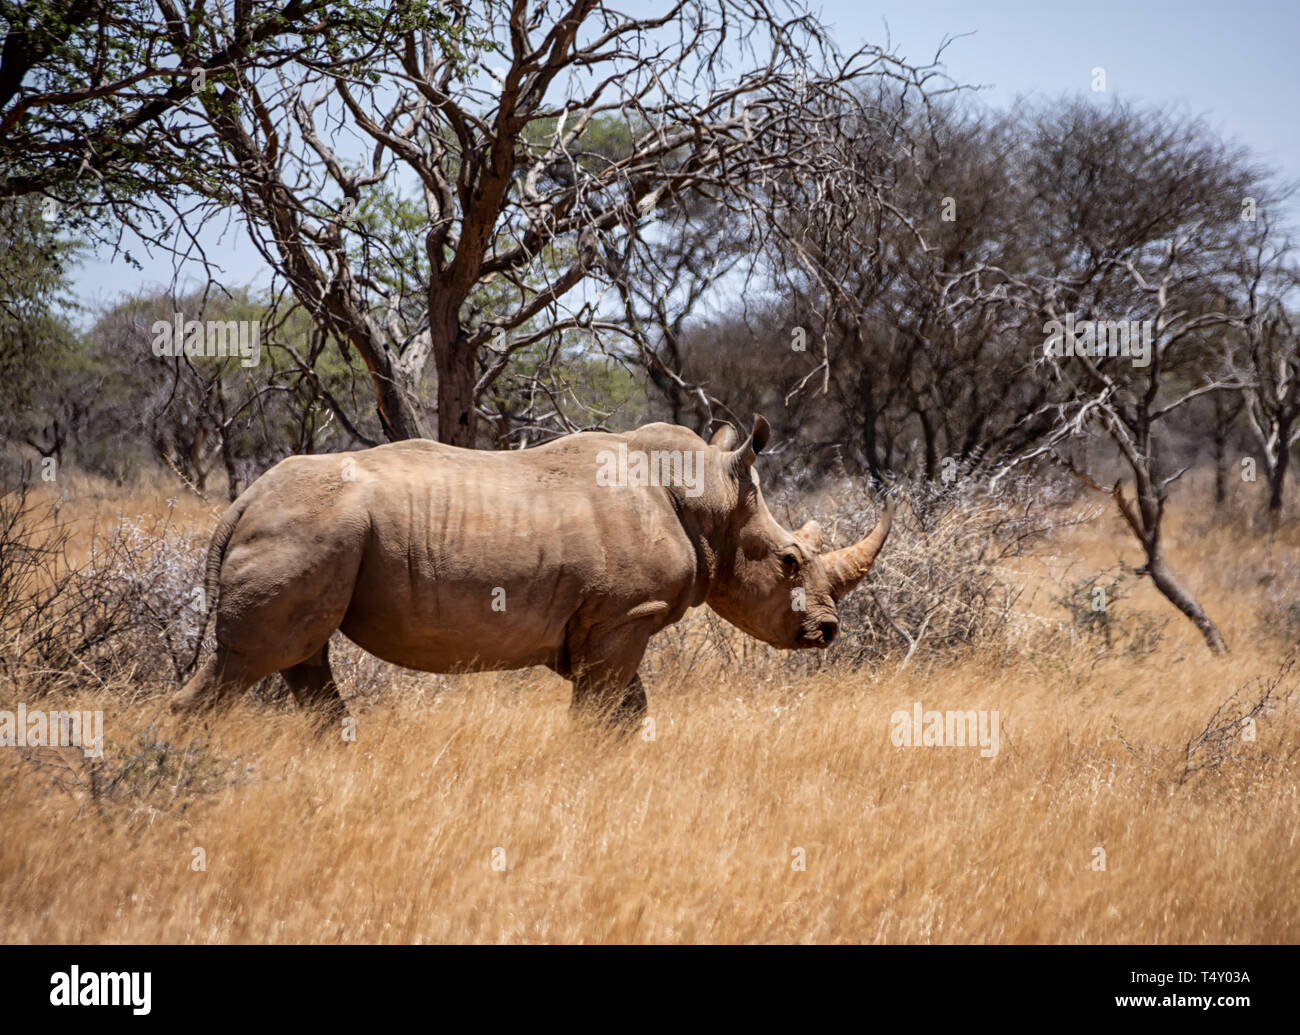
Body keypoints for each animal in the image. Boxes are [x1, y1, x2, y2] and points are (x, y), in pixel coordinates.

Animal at [172, 415, 893, 729]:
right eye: (790, 561)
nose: (828, 631)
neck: (712, 499)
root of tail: (239, 504)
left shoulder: (599, 625)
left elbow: (625, 709)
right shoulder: (624, 615)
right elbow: (599, 713)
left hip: (311, 531)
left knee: (301, 656)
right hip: (306, 528)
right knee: (251, 663)